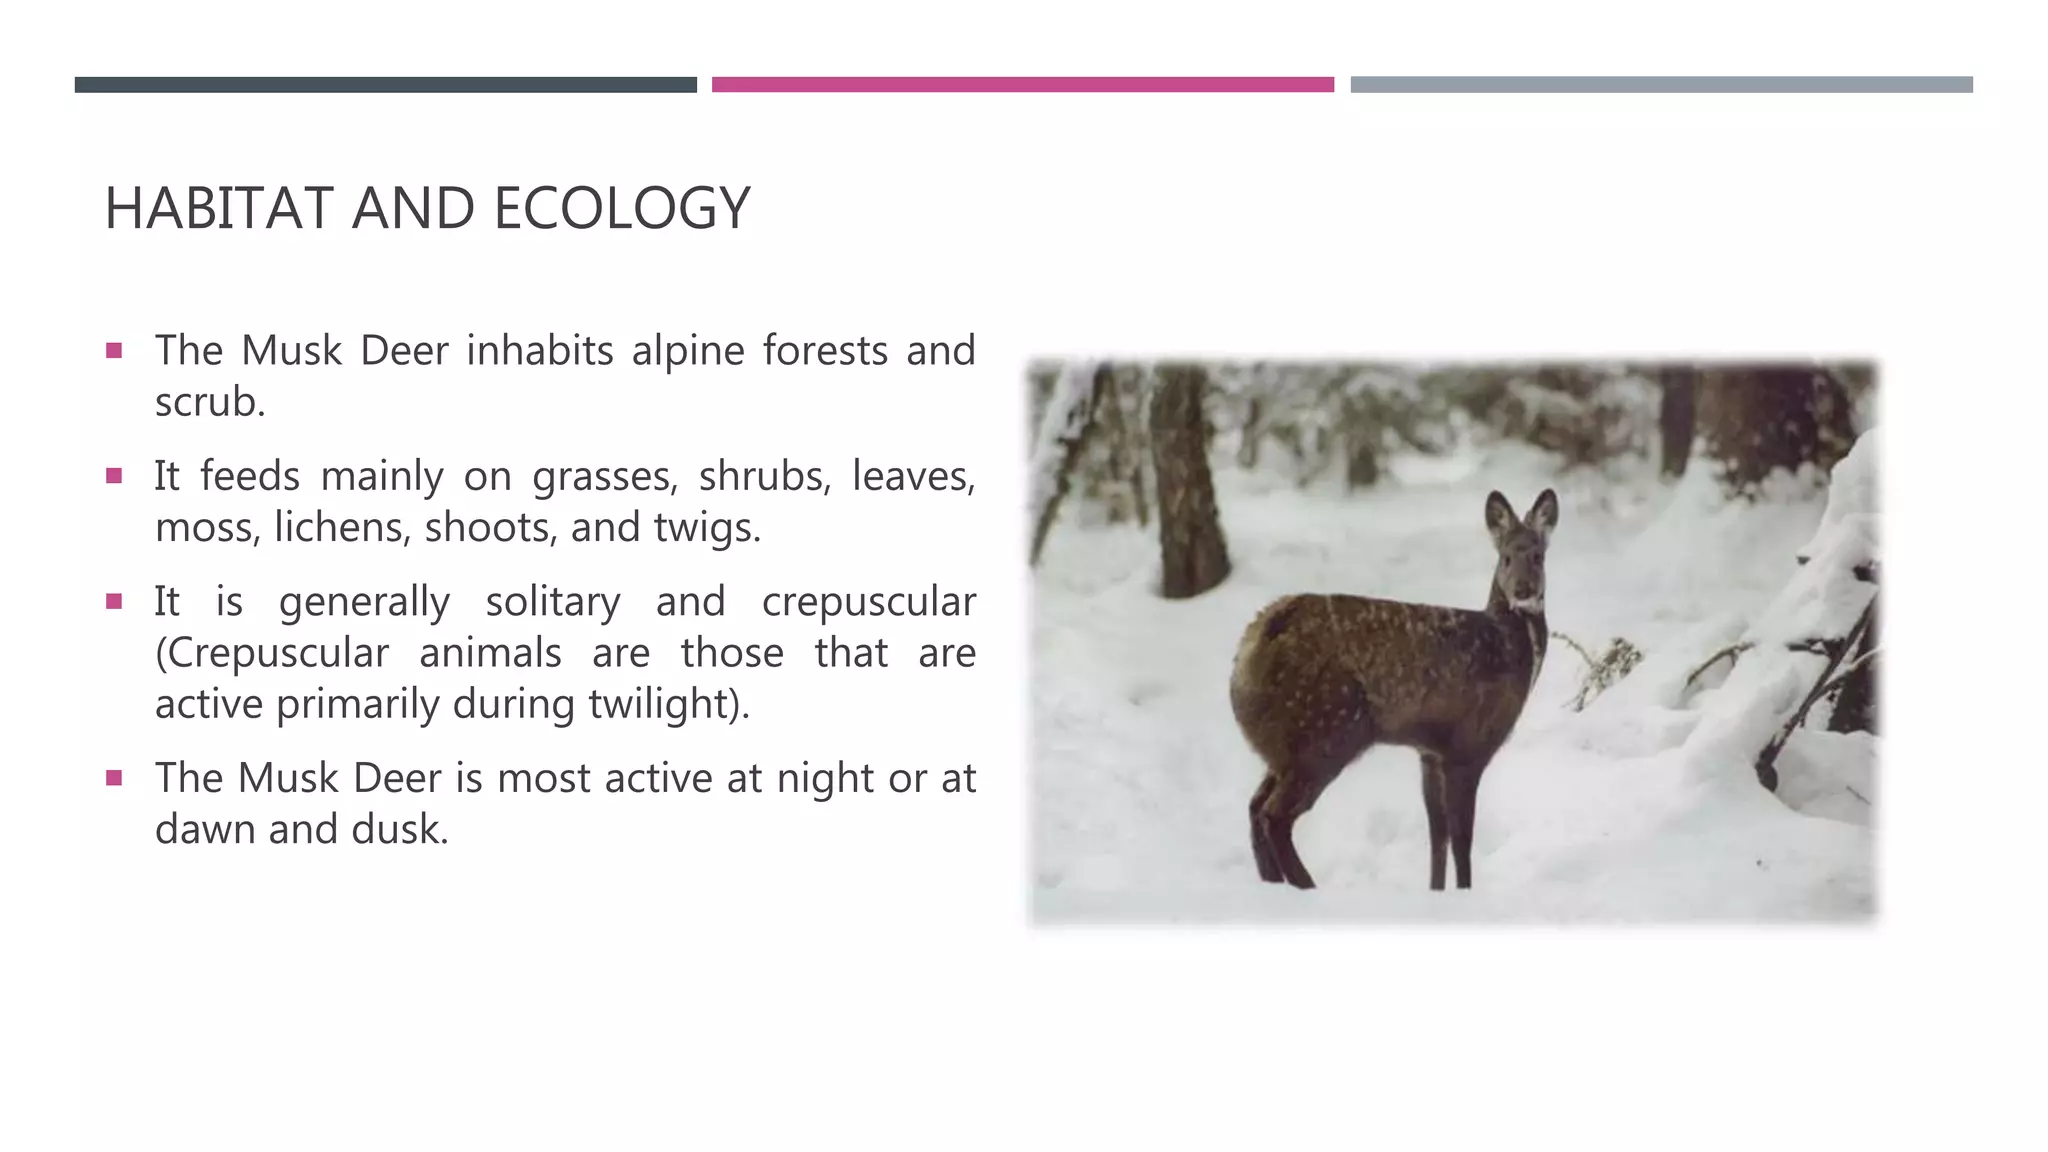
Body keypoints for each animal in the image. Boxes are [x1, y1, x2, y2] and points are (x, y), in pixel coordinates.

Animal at [1229, 489, 1558, 891]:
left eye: (1538, 556)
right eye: (1505, 557)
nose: (1523, 590)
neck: (1509, 648)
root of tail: (1250, 649)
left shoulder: (1430, 752)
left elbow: (1438, 835)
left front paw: (1435, 893)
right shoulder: (1469, 743)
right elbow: (1461, 839)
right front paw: (1465, 893)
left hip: (1284, 745)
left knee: (1254, 808)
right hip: (1326, 730)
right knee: (1274, 816)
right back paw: (1308, 888)